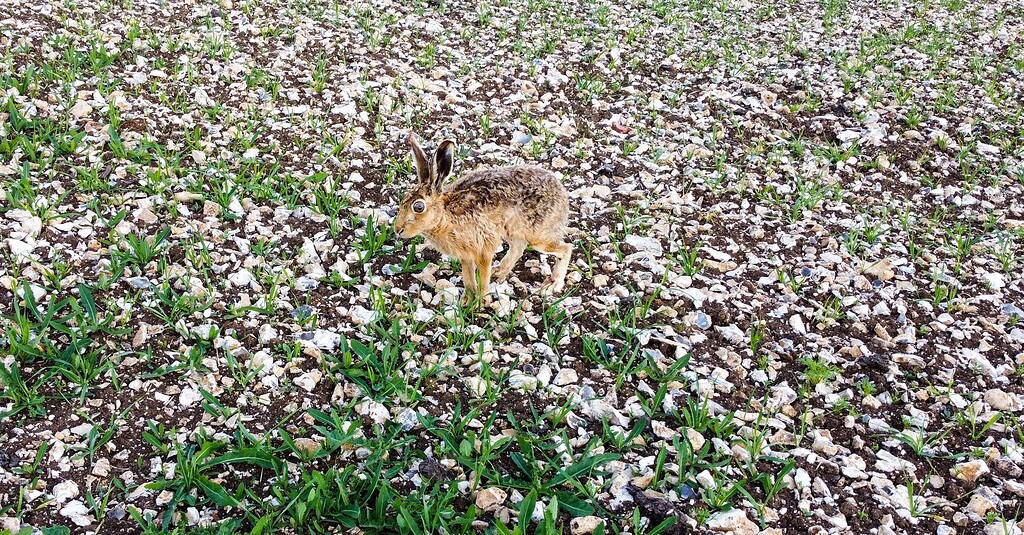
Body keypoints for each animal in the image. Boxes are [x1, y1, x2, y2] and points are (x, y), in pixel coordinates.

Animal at [393, 132, 572, 304]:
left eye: (418, 207)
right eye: (403, 200)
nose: (398, 230)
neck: (444, 216)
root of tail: (562, 193)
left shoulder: (483, 250)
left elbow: (483, 277)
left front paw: (482, 301)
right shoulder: (465, 256)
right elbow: (468, 277)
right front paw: (467, 300)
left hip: (538, 236)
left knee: (566, 248)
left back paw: (553, 284)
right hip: (512, 231)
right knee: (518, 248)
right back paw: (499, 271)